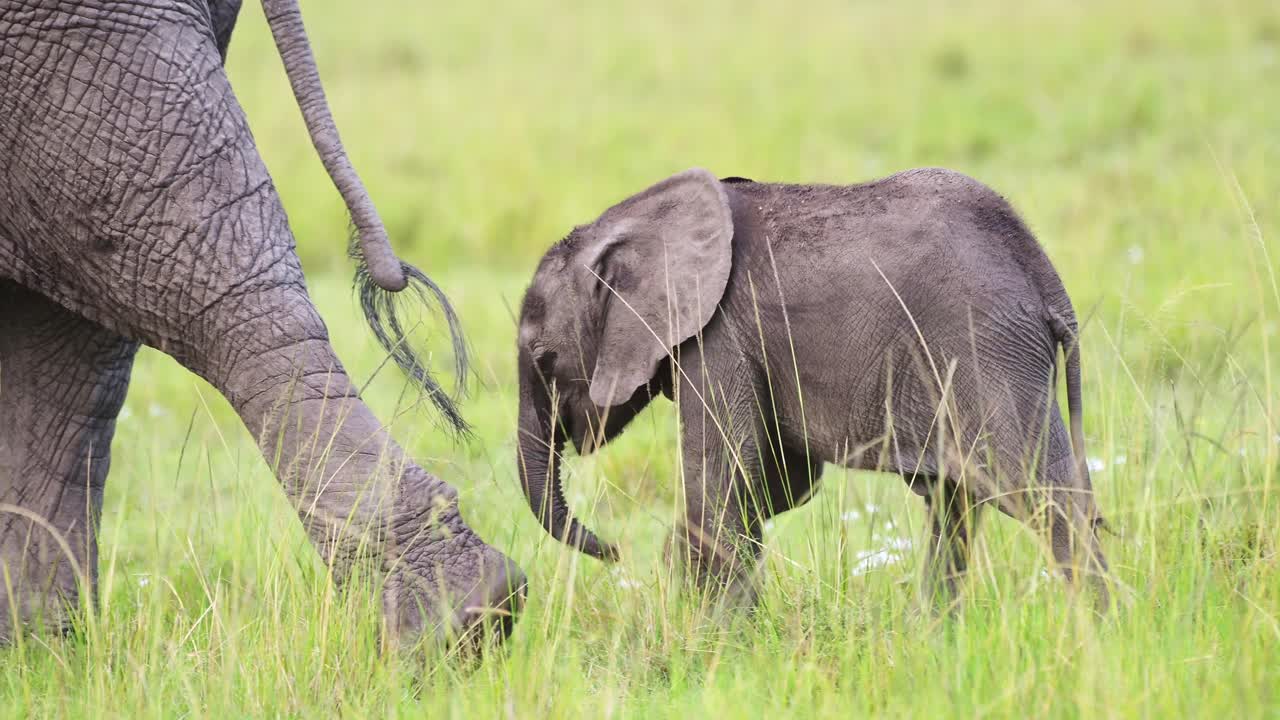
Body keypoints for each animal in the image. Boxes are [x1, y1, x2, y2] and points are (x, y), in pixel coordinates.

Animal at [514, 167, 1110, 609]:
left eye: (544, 360)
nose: (615, 551)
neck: (628, 222)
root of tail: (1043, 273)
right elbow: (775, 487)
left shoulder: (720, 336)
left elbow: (720, 489)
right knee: (959, 505)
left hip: (986, 350)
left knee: (1043, 498)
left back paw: (1100, 633)